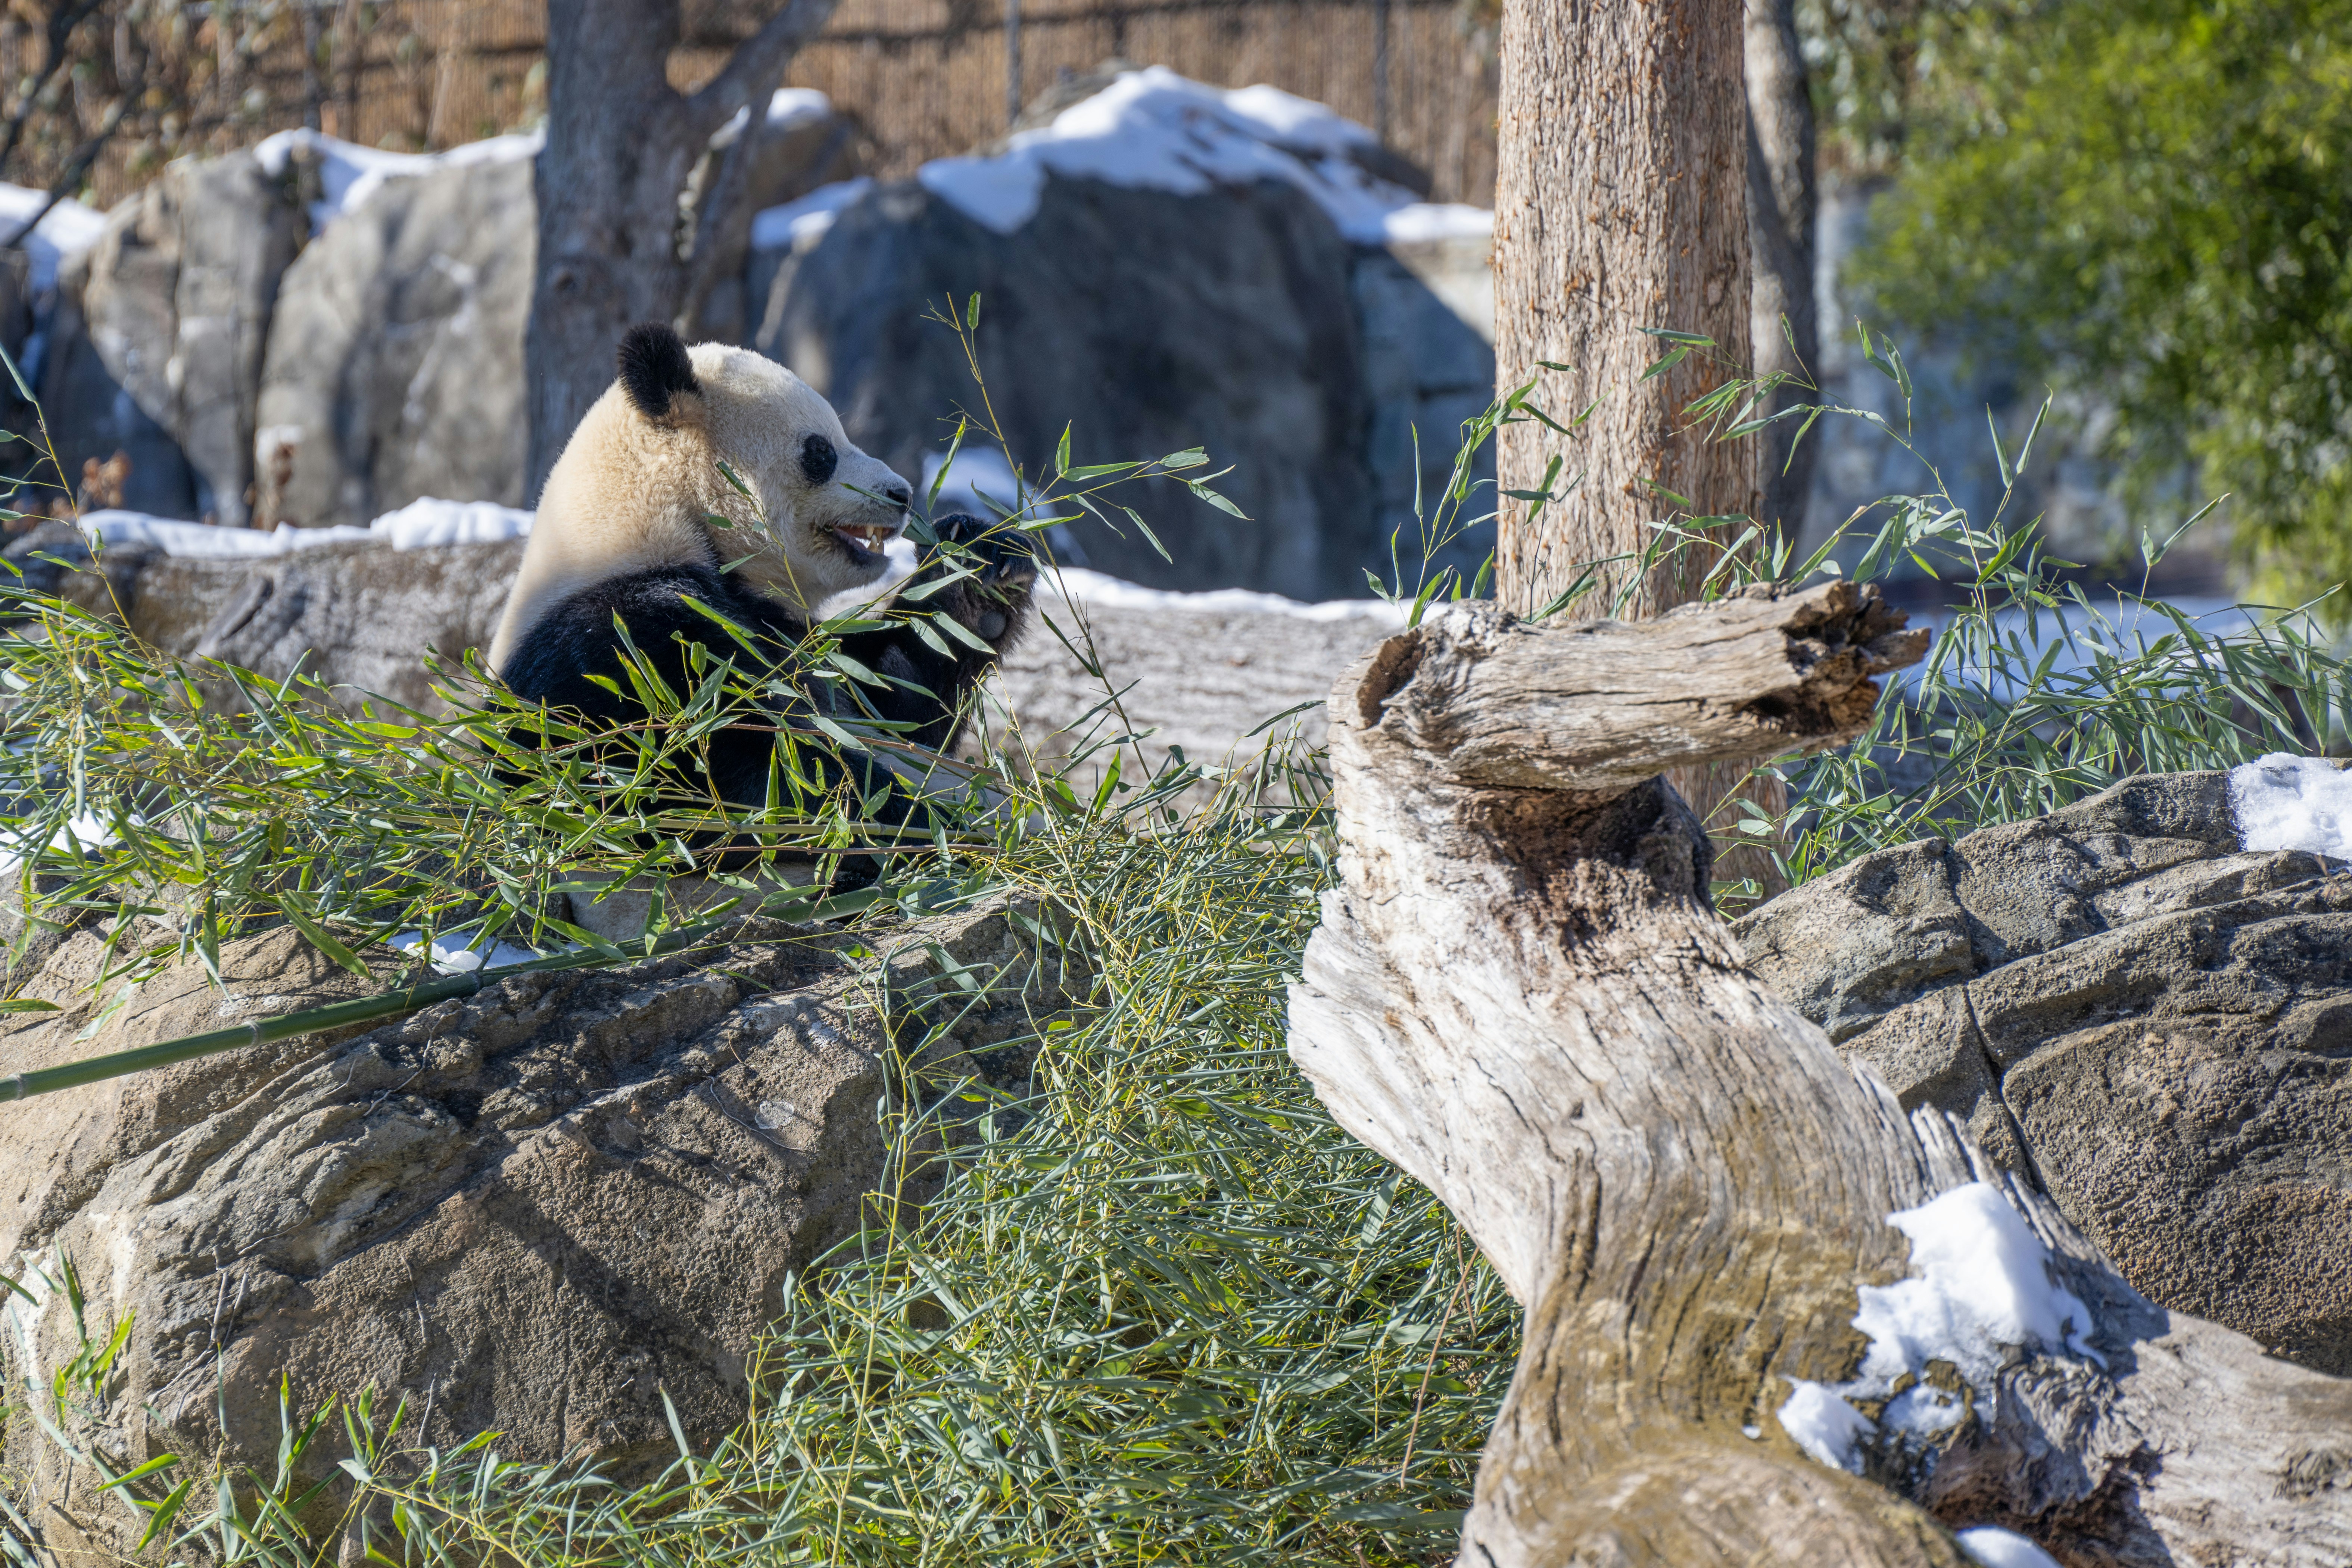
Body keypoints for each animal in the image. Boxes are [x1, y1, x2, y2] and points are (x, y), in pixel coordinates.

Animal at [488, 322, 1035, 884]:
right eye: (821, 451)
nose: (900, 494)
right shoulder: (616, 645)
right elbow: (715, 770)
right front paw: (928, 824)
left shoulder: (796, 638)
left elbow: (899, 708)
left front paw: (979, 569)